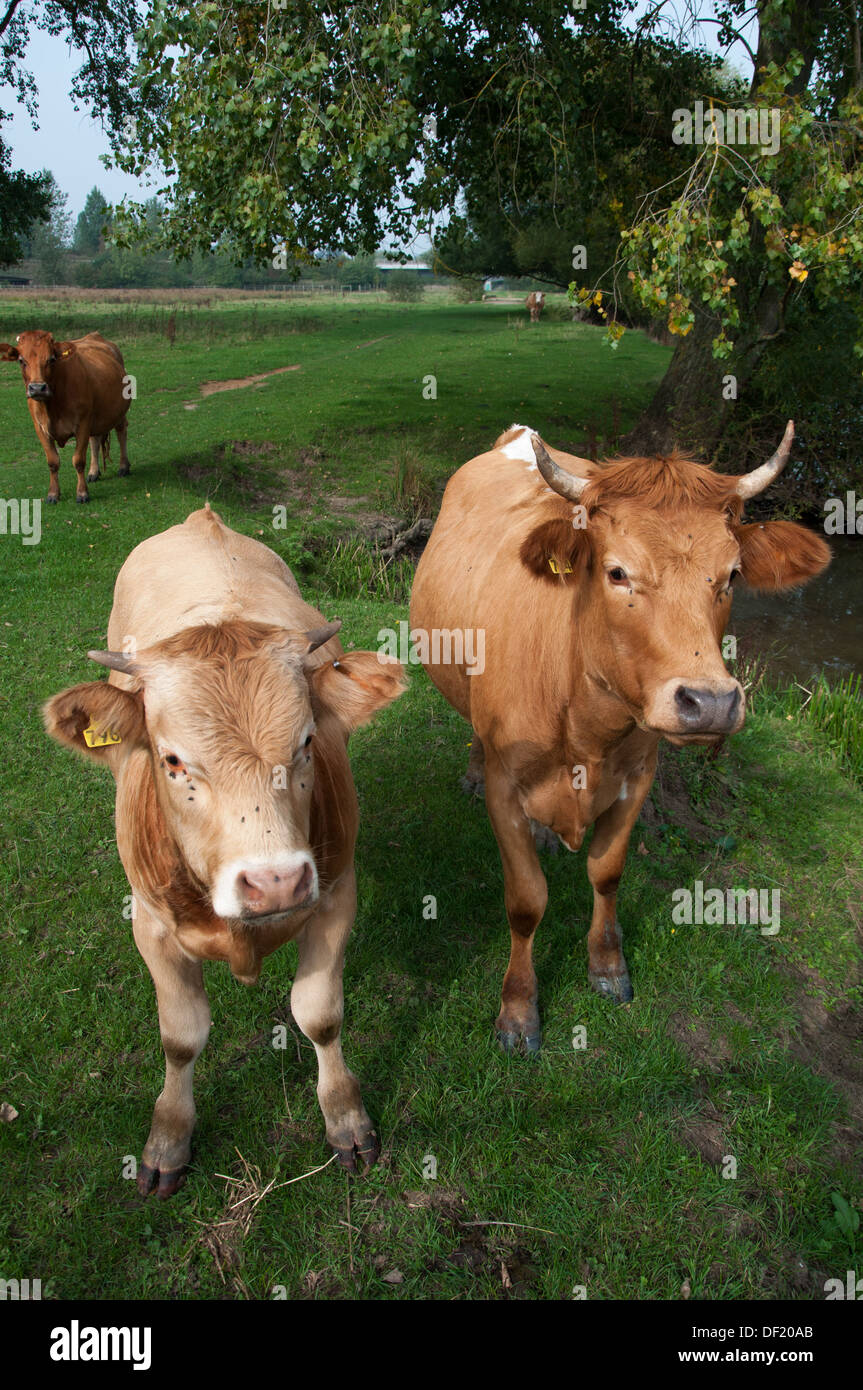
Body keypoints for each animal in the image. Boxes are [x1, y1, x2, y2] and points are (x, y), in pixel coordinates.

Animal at [0, 330, 131, 504]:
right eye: (21, 360)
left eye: (51, 359)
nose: (37, 388)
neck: (53, 406)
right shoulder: (40, 428)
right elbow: (53, 462)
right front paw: (53, 494)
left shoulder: (82, 423)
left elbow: (78, 460)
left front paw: (82, 493)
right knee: (95, 440)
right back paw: (93, 472)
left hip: (118, 411)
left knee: (121, 431)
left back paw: (123, 466)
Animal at [43, 504, 405, 1194]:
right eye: (172, 760)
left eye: (307, 743)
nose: (275, 882)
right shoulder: (150, 922)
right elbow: (181, 1038)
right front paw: (167, 1138)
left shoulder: (334, 894)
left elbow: (319, 1015)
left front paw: (345, 1118)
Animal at [409, 421, 830, 1052]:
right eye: (617, 572)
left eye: (732, 575)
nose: (710, 702)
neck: (582, 724)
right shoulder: (508, 790)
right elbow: (526, 902)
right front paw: (518, 1011)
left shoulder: (638, 776)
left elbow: (606, 875)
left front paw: (608, 967)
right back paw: (474, 773)